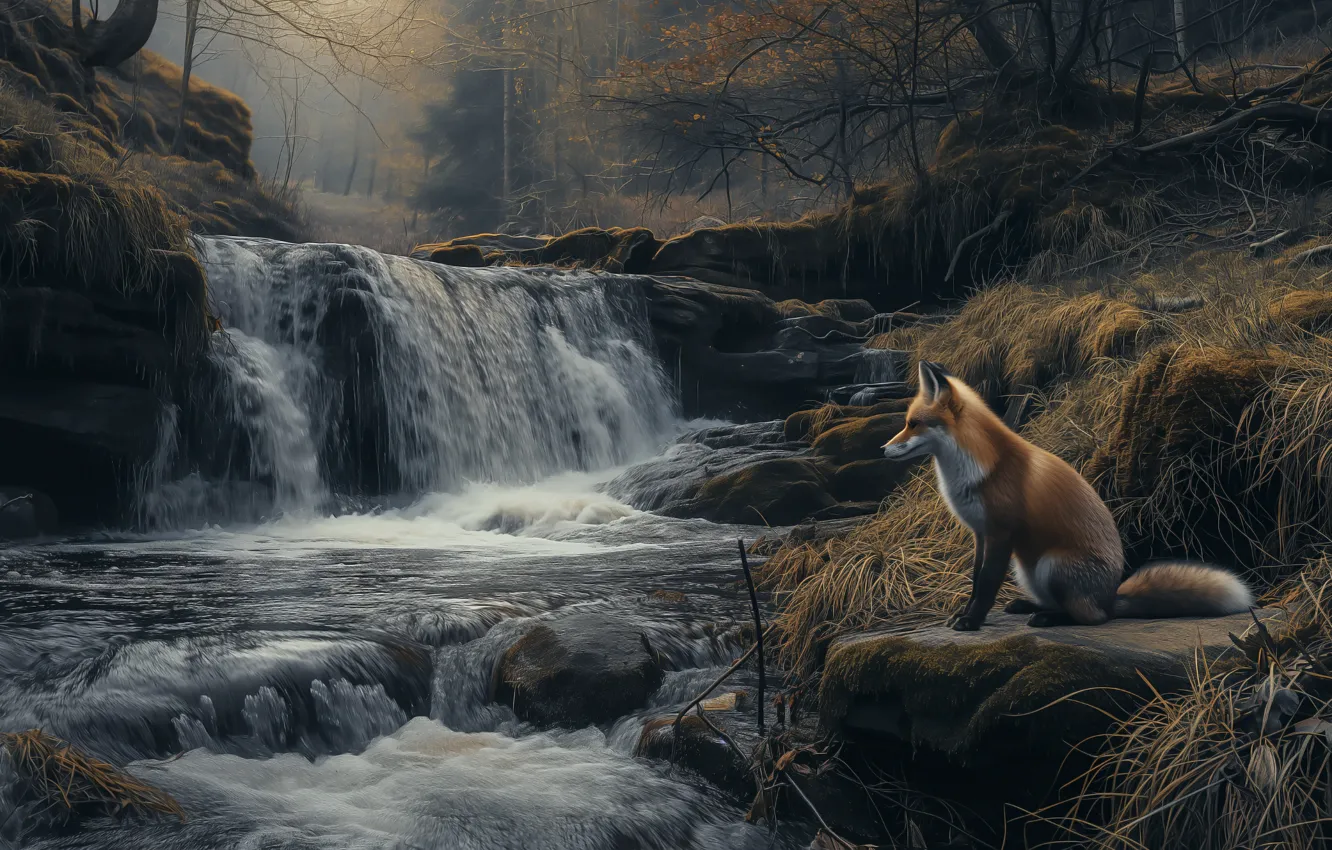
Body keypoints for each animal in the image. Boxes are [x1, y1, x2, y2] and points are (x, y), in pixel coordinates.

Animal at [881, 360, 1254, 631]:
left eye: (914, 424)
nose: (883, 450)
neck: (981, 467)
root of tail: (1110, 595)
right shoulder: (980, 534)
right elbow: (975, 581)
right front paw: (966, 614)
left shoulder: (1001, 533)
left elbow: (986, 584)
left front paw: (971, 622)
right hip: (1026, 567)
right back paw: (1028, 606)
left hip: (1051, 564)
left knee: (1092, 618)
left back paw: (1048, 618)